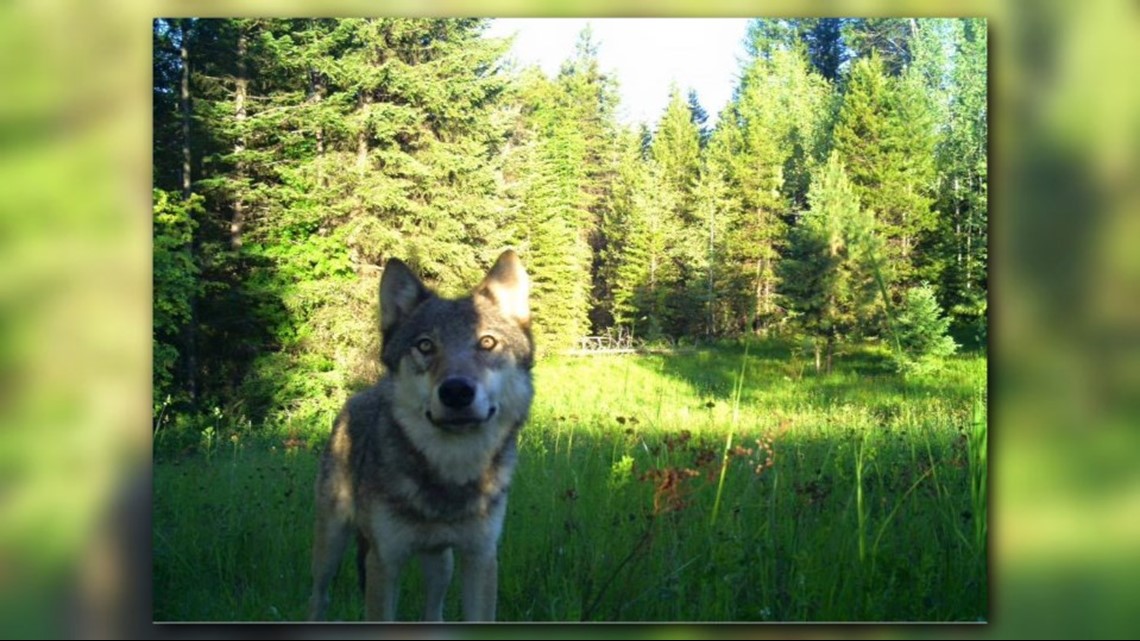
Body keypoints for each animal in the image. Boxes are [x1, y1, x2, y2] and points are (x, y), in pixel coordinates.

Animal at [307, 250, 534, 622]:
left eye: (487, 342)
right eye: (425, 346)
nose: (456, 391)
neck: (451, 474)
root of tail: (361, 394)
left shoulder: (481, 559)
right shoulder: (384, 563)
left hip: (441, 562)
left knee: (434, 612)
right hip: (331, 545)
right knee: (318, 598)